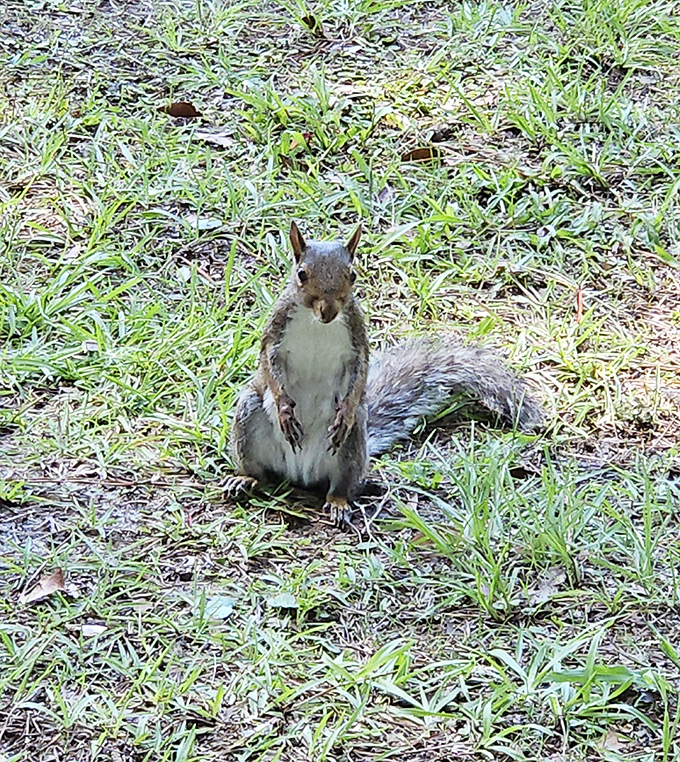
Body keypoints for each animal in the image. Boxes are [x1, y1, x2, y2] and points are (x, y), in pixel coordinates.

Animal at [224, 222, 542, 524]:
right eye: (301, 274)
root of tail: (300, 472)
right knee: (260, 470)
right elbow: (269, 364)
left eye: (352, 275)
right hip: (248, 418)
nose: (328, 310)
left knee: (341, 485)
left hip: (352, 444)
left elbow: (360, 372)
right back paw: (246, 479)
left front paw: (344, 410)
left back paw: (338, 502)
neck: (317, 323)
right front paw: (284, 410)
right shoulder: (276, 331)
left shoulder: (356, 338)